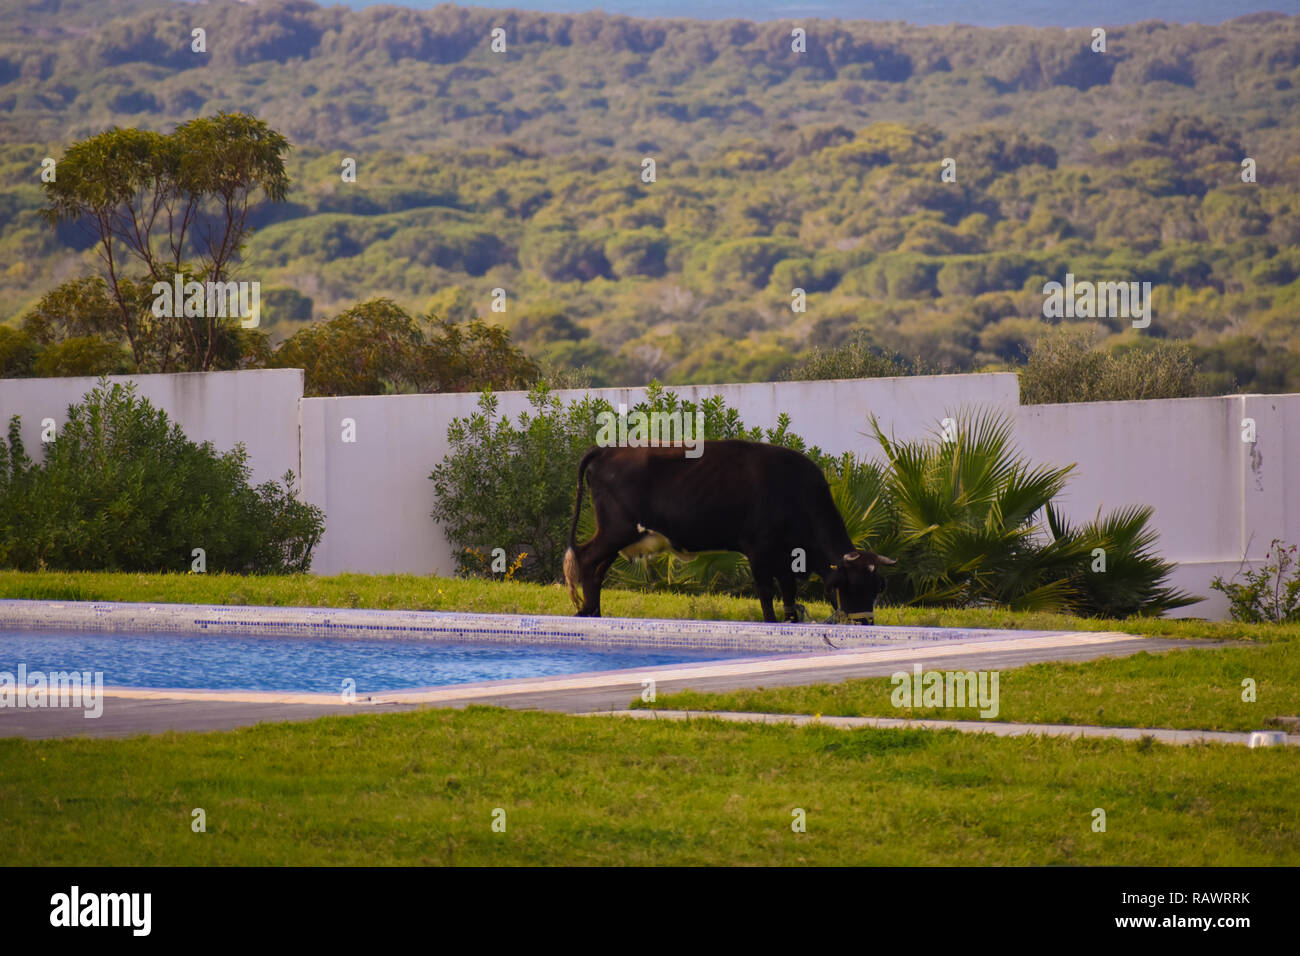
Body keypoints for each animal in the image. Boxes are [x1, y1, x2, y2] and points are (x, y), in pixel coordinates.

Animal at [562, 439, 896, 624]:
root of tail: (608, 450)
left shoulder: (786, 556)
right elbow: (766, 592)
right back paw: (589, 612)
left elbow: (789, 593)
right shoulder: (759, 550)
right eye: (852, 586)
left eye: (877, 587)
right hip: (616, 530)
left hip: (621, 536)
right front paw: (771, 623)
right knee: (587, 559)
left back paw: (593, 611)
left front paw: (790, 620)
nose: (866, 624)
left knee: (597, 568)